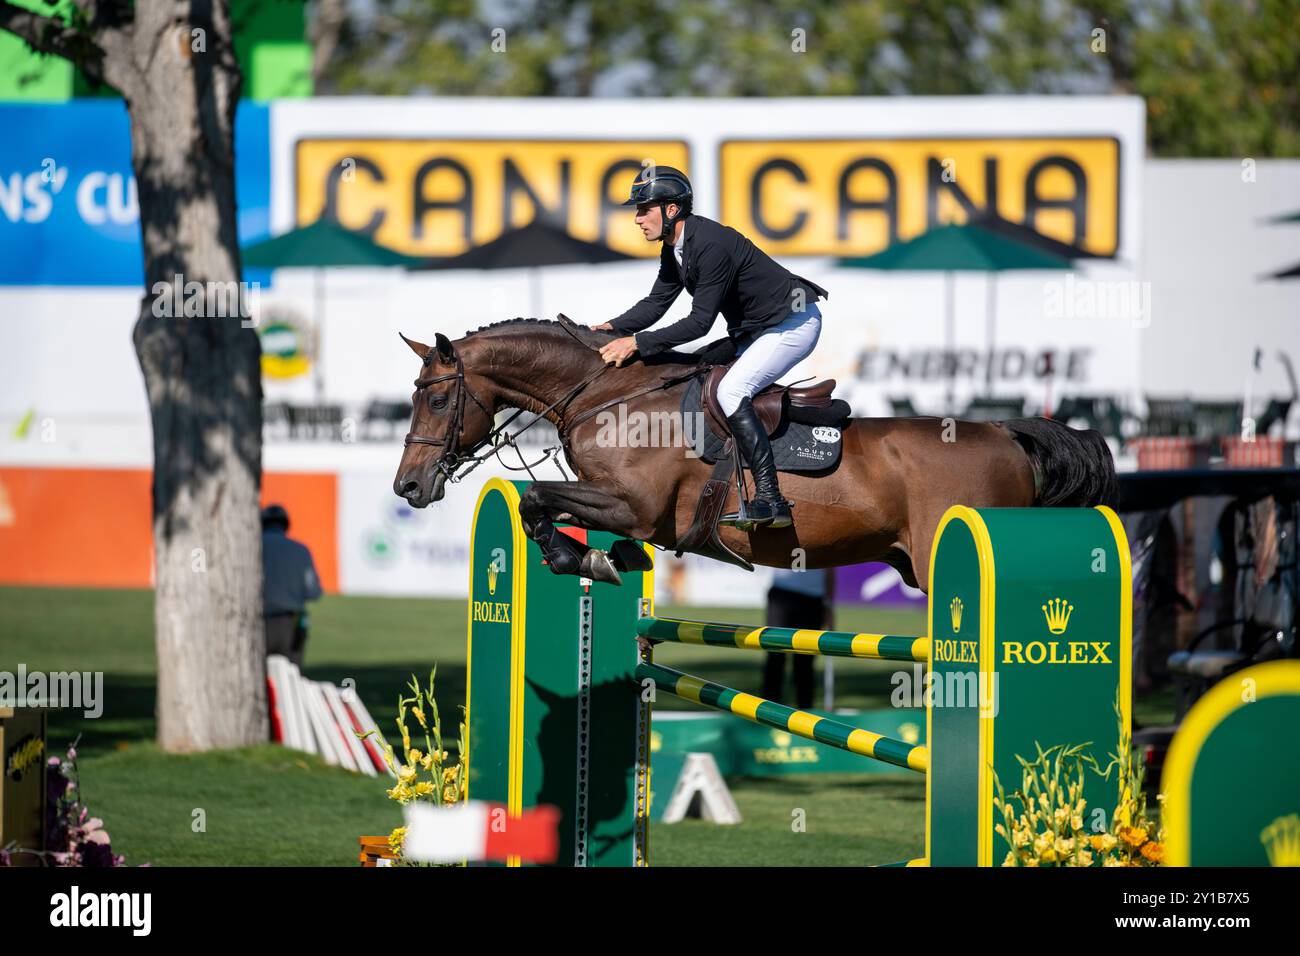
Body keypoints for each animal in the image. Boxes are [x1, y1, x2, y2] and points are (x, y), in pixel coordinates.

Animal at [393, 318, 1118, 590]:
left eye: (437, 398)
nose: (408, 487)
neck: (606, 394)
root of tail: (1006, 433)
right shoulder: (628, 512)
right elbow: (540, 505)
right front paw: (603, 559)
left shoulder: (634, 507)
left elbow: (535, 499)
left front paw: (582, 559)